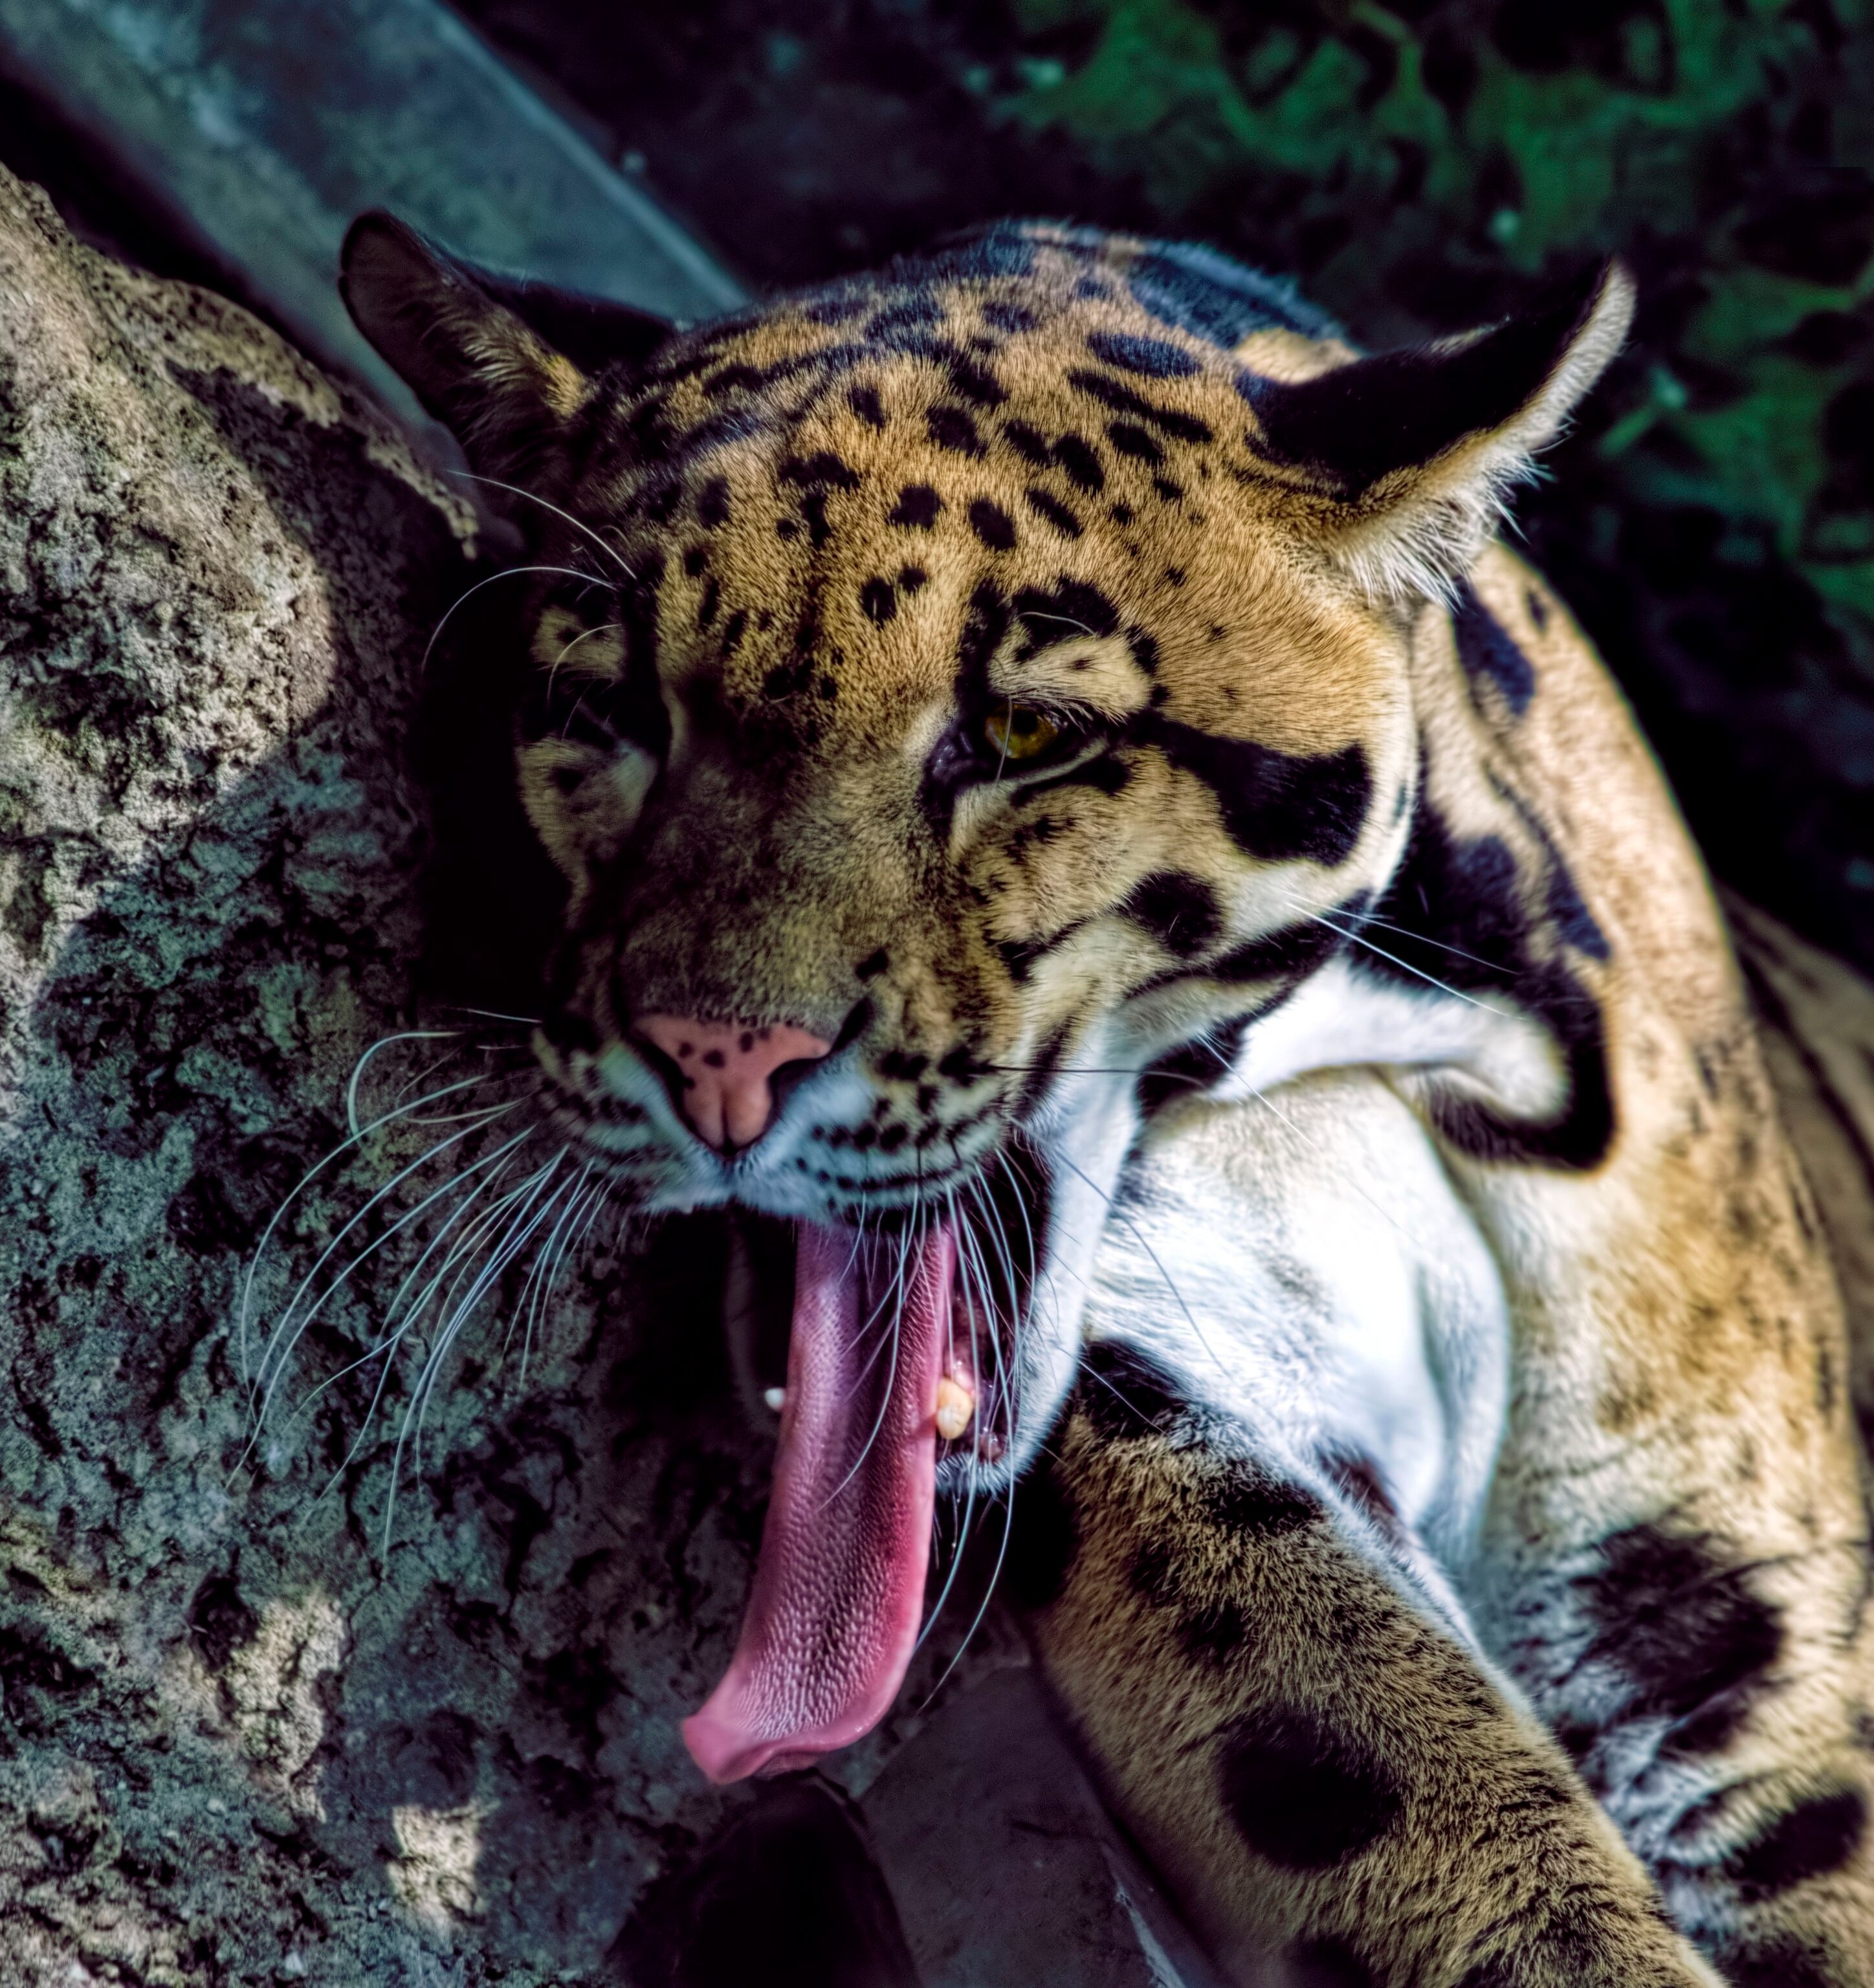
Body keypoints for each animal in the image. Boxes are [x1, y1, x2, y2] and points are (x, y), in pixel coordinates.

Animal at [340, 209, 1874, 1987]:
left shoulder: (1735, 1621)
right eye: (612, 706)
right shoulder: (1187, 1399)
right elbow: (1440, 1811)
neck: (1370, 1051)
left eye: (1025, 731)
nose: (713, 1057)